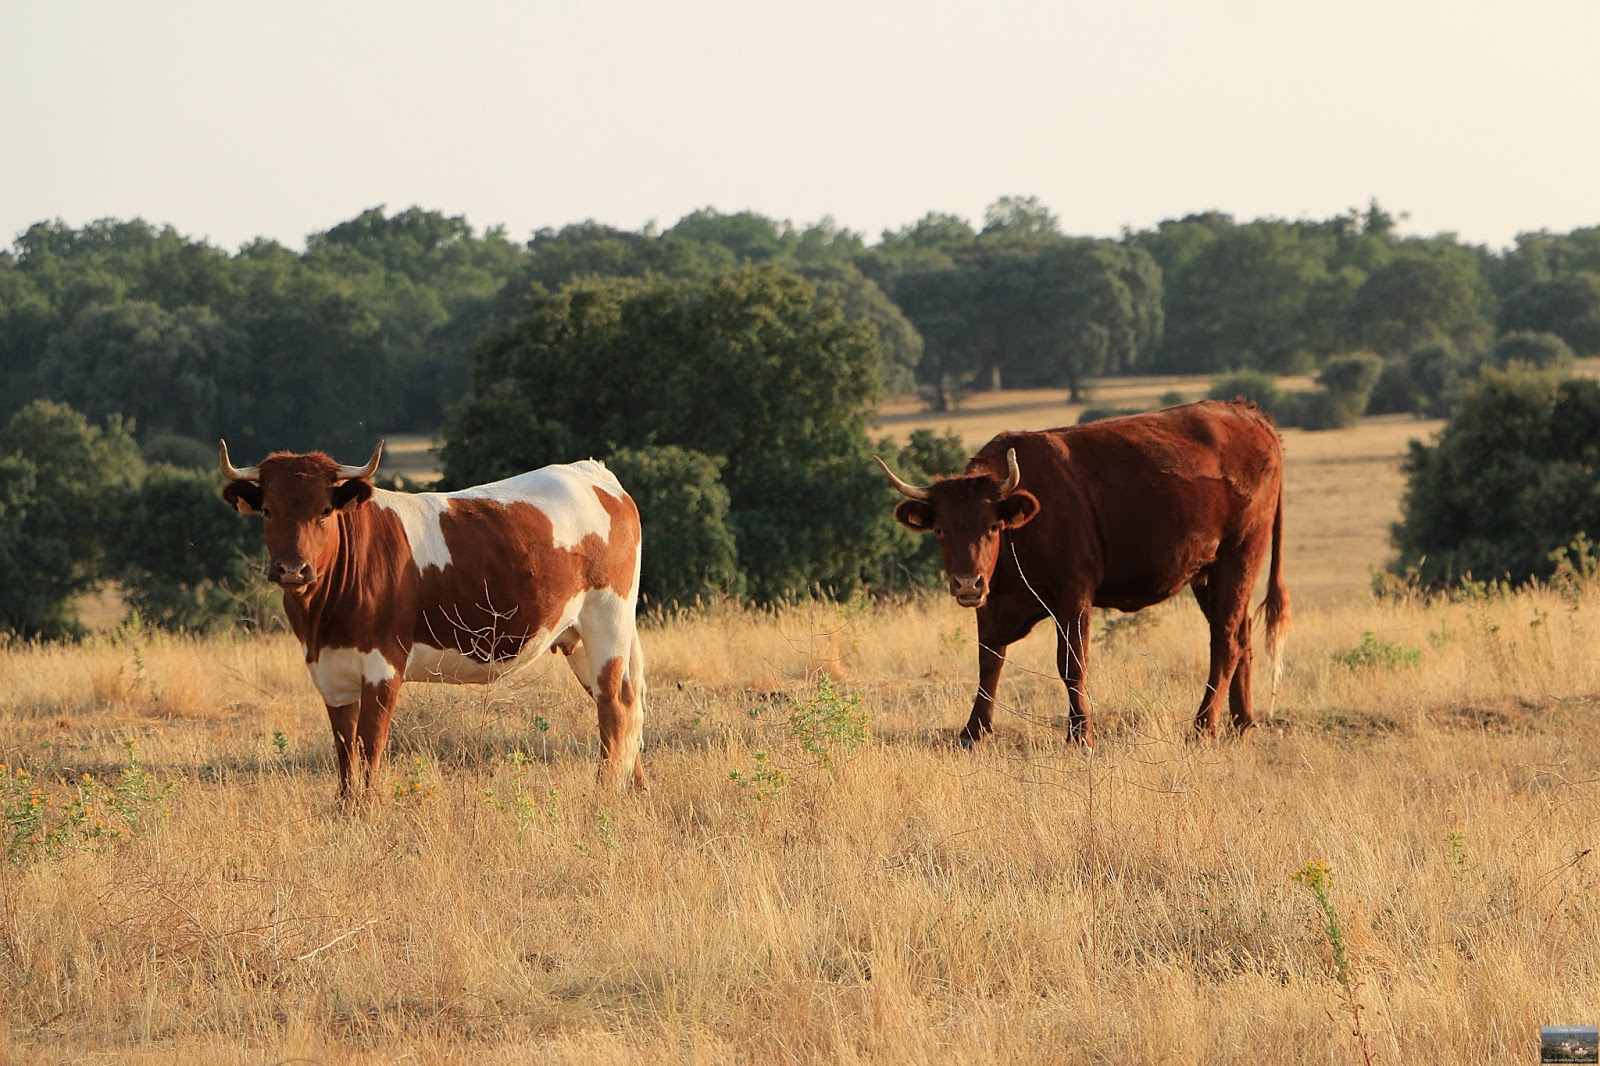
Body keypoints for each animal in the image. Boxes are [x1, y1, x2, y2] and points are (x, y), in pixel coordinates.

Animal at [219, 440, 647, 802]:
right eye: (268, 511)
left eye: (324, 511)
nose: (292, 569)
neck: (321, 617)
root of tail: (590, 472)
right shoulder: (329, 670)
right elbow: (344, 749)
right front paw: (345, 810)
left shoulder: (384, 664)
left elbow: (370, 743)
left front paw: (367, 811)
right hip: (579, 638)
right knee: (625, 704)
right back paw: (634, 789)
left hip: (607, 622)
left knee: (614, 707)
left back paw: (604, 793)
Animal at [874, 400, 1289, 746]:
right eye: (940, 531)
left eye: (992, 527)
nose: (966, 583)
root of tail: (1249, 415)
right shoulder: (990, 604)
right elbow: (989, 661)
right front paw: (972, 732)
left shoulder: (1073, 597)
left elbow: (1072, 664)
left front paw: (1080, 734)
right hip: (1208, 573)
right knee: (1240, 633)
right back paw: (1243, 721)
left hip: (1240, 554)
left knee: (1226, 640)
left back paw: (1204, 726)